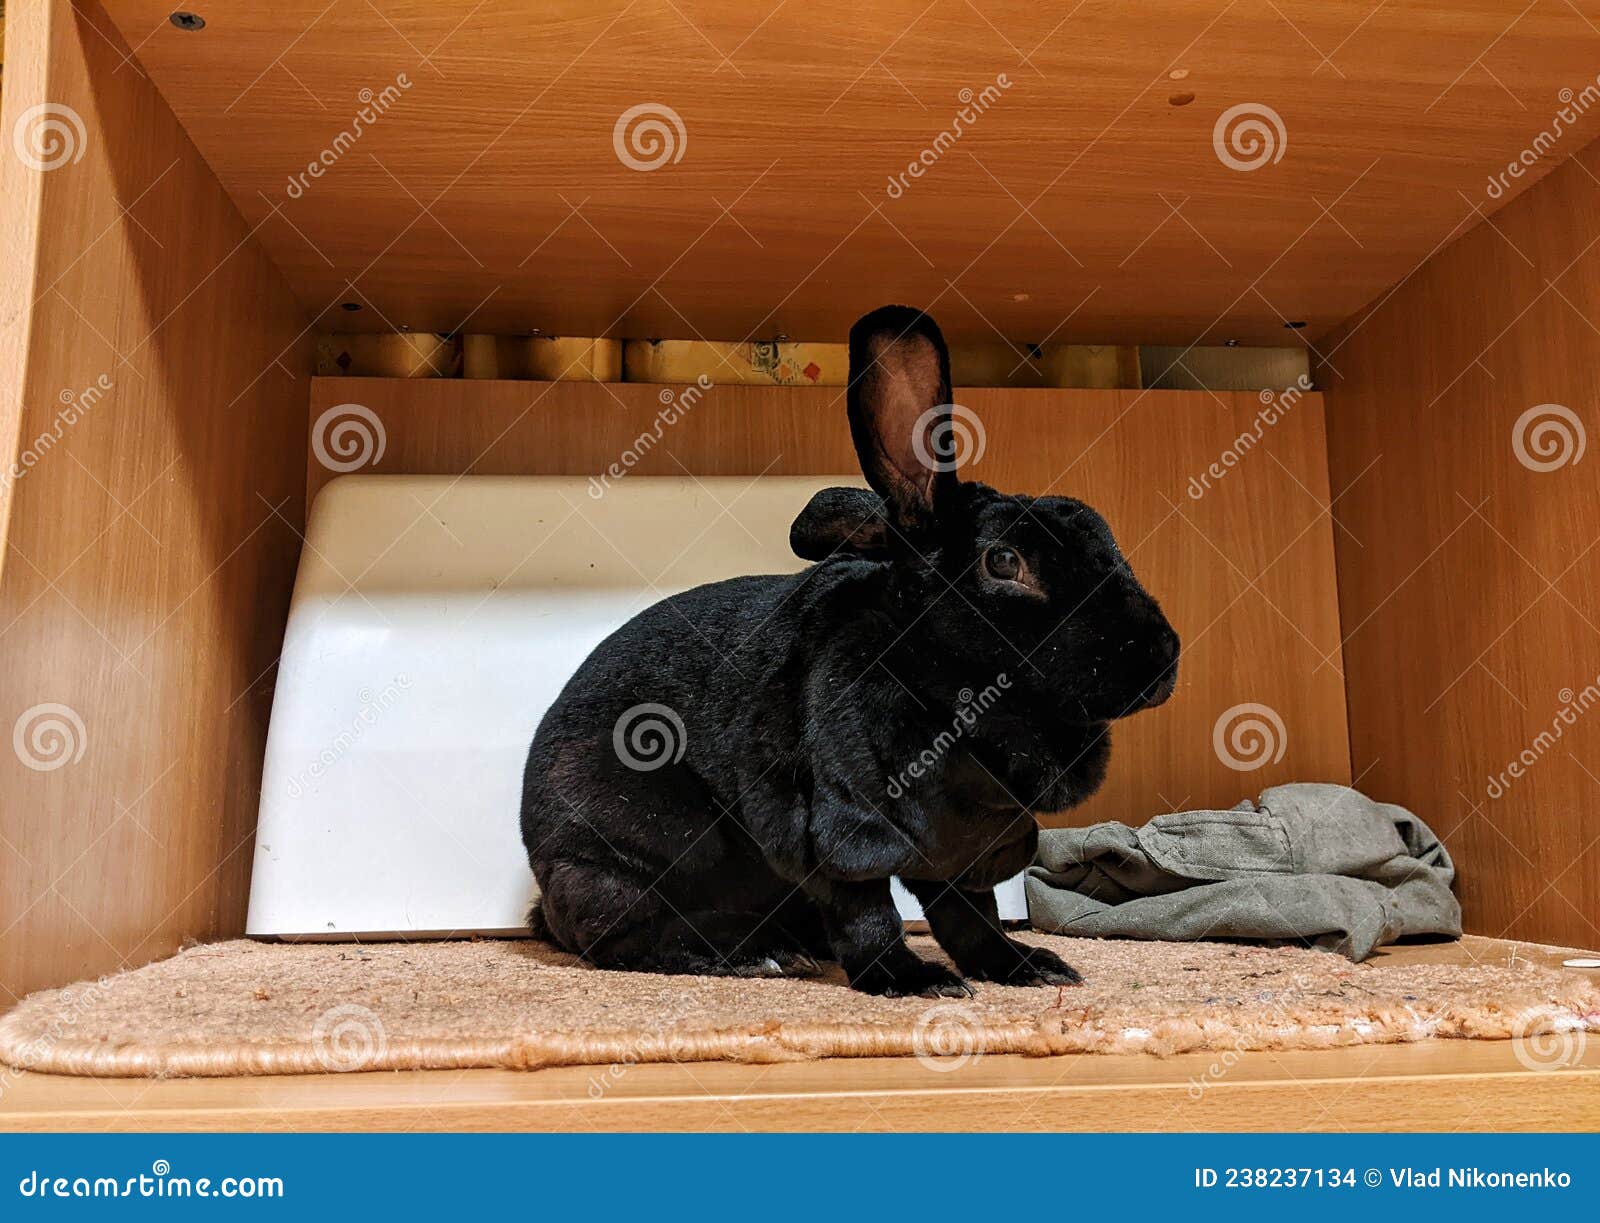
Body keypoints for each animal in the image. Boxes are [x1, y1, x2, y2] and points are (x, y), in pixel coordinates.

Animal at [521, 304, 1180, 996]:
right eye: (1004, 562)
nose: (1163, 657)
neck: (948, 695)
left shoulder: (966, 841)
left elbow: (971, 916)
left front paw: (1027, 968)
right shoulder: (840, 821)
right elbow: (869, 911)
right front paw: (912, 980)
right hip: (636, 845)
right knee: (618, 932)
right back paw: (757, 954)